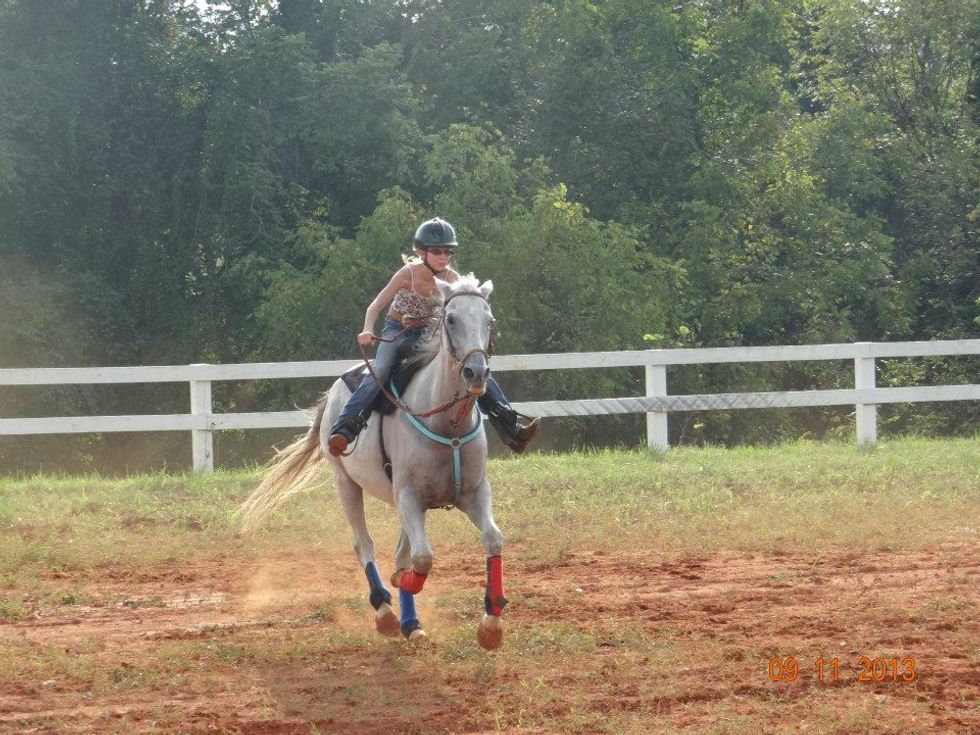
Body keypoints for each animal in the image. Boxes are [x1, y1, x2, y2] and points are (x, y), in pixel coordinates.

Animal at [238, 274, 507, 650]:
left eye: (489, 320)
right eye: (451, 319)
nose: (476, 373)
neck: (446, 423)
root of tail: (336, 388)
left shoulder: (473, 492)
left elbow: (491, 540)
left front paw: (491, 625)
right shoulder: (407, 496)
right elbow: (421, 559)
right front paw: (400, 583)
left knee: (401, 550)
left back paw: (411, 623)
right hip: (346, 484)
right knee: (364, 544)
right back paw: (386, 612)